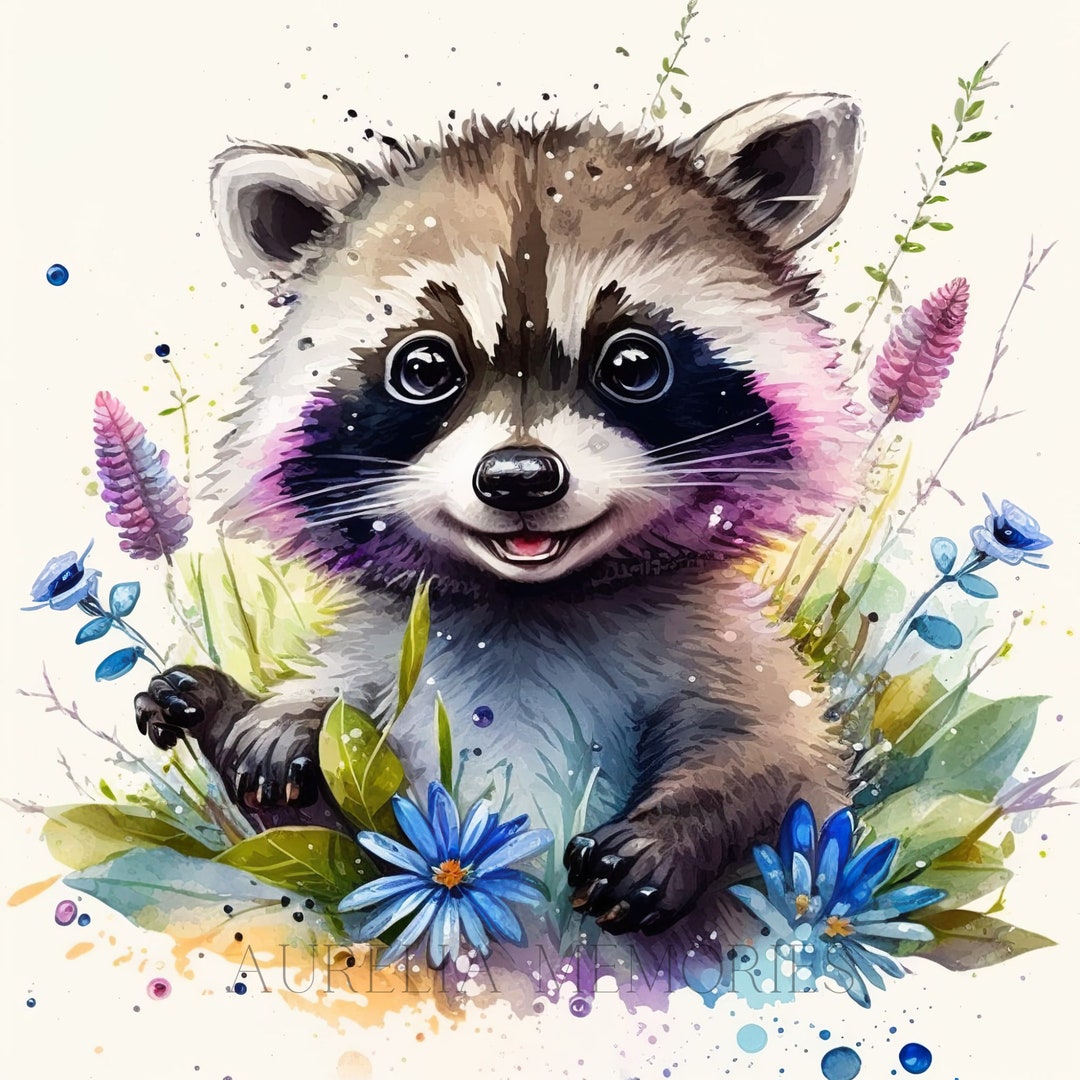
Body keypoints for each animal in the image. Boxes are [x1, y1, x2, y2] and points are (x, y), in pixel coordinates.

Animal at [134, 94, 865, 943]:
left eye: (633, 364)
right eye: (423, 368)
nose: (520, 479)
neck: (529, 602)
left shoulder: (727, 654)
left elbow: (783, 773)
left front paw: (680, 825)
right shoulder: (387, 683)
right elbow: (332, 851)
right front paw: (265, 713)